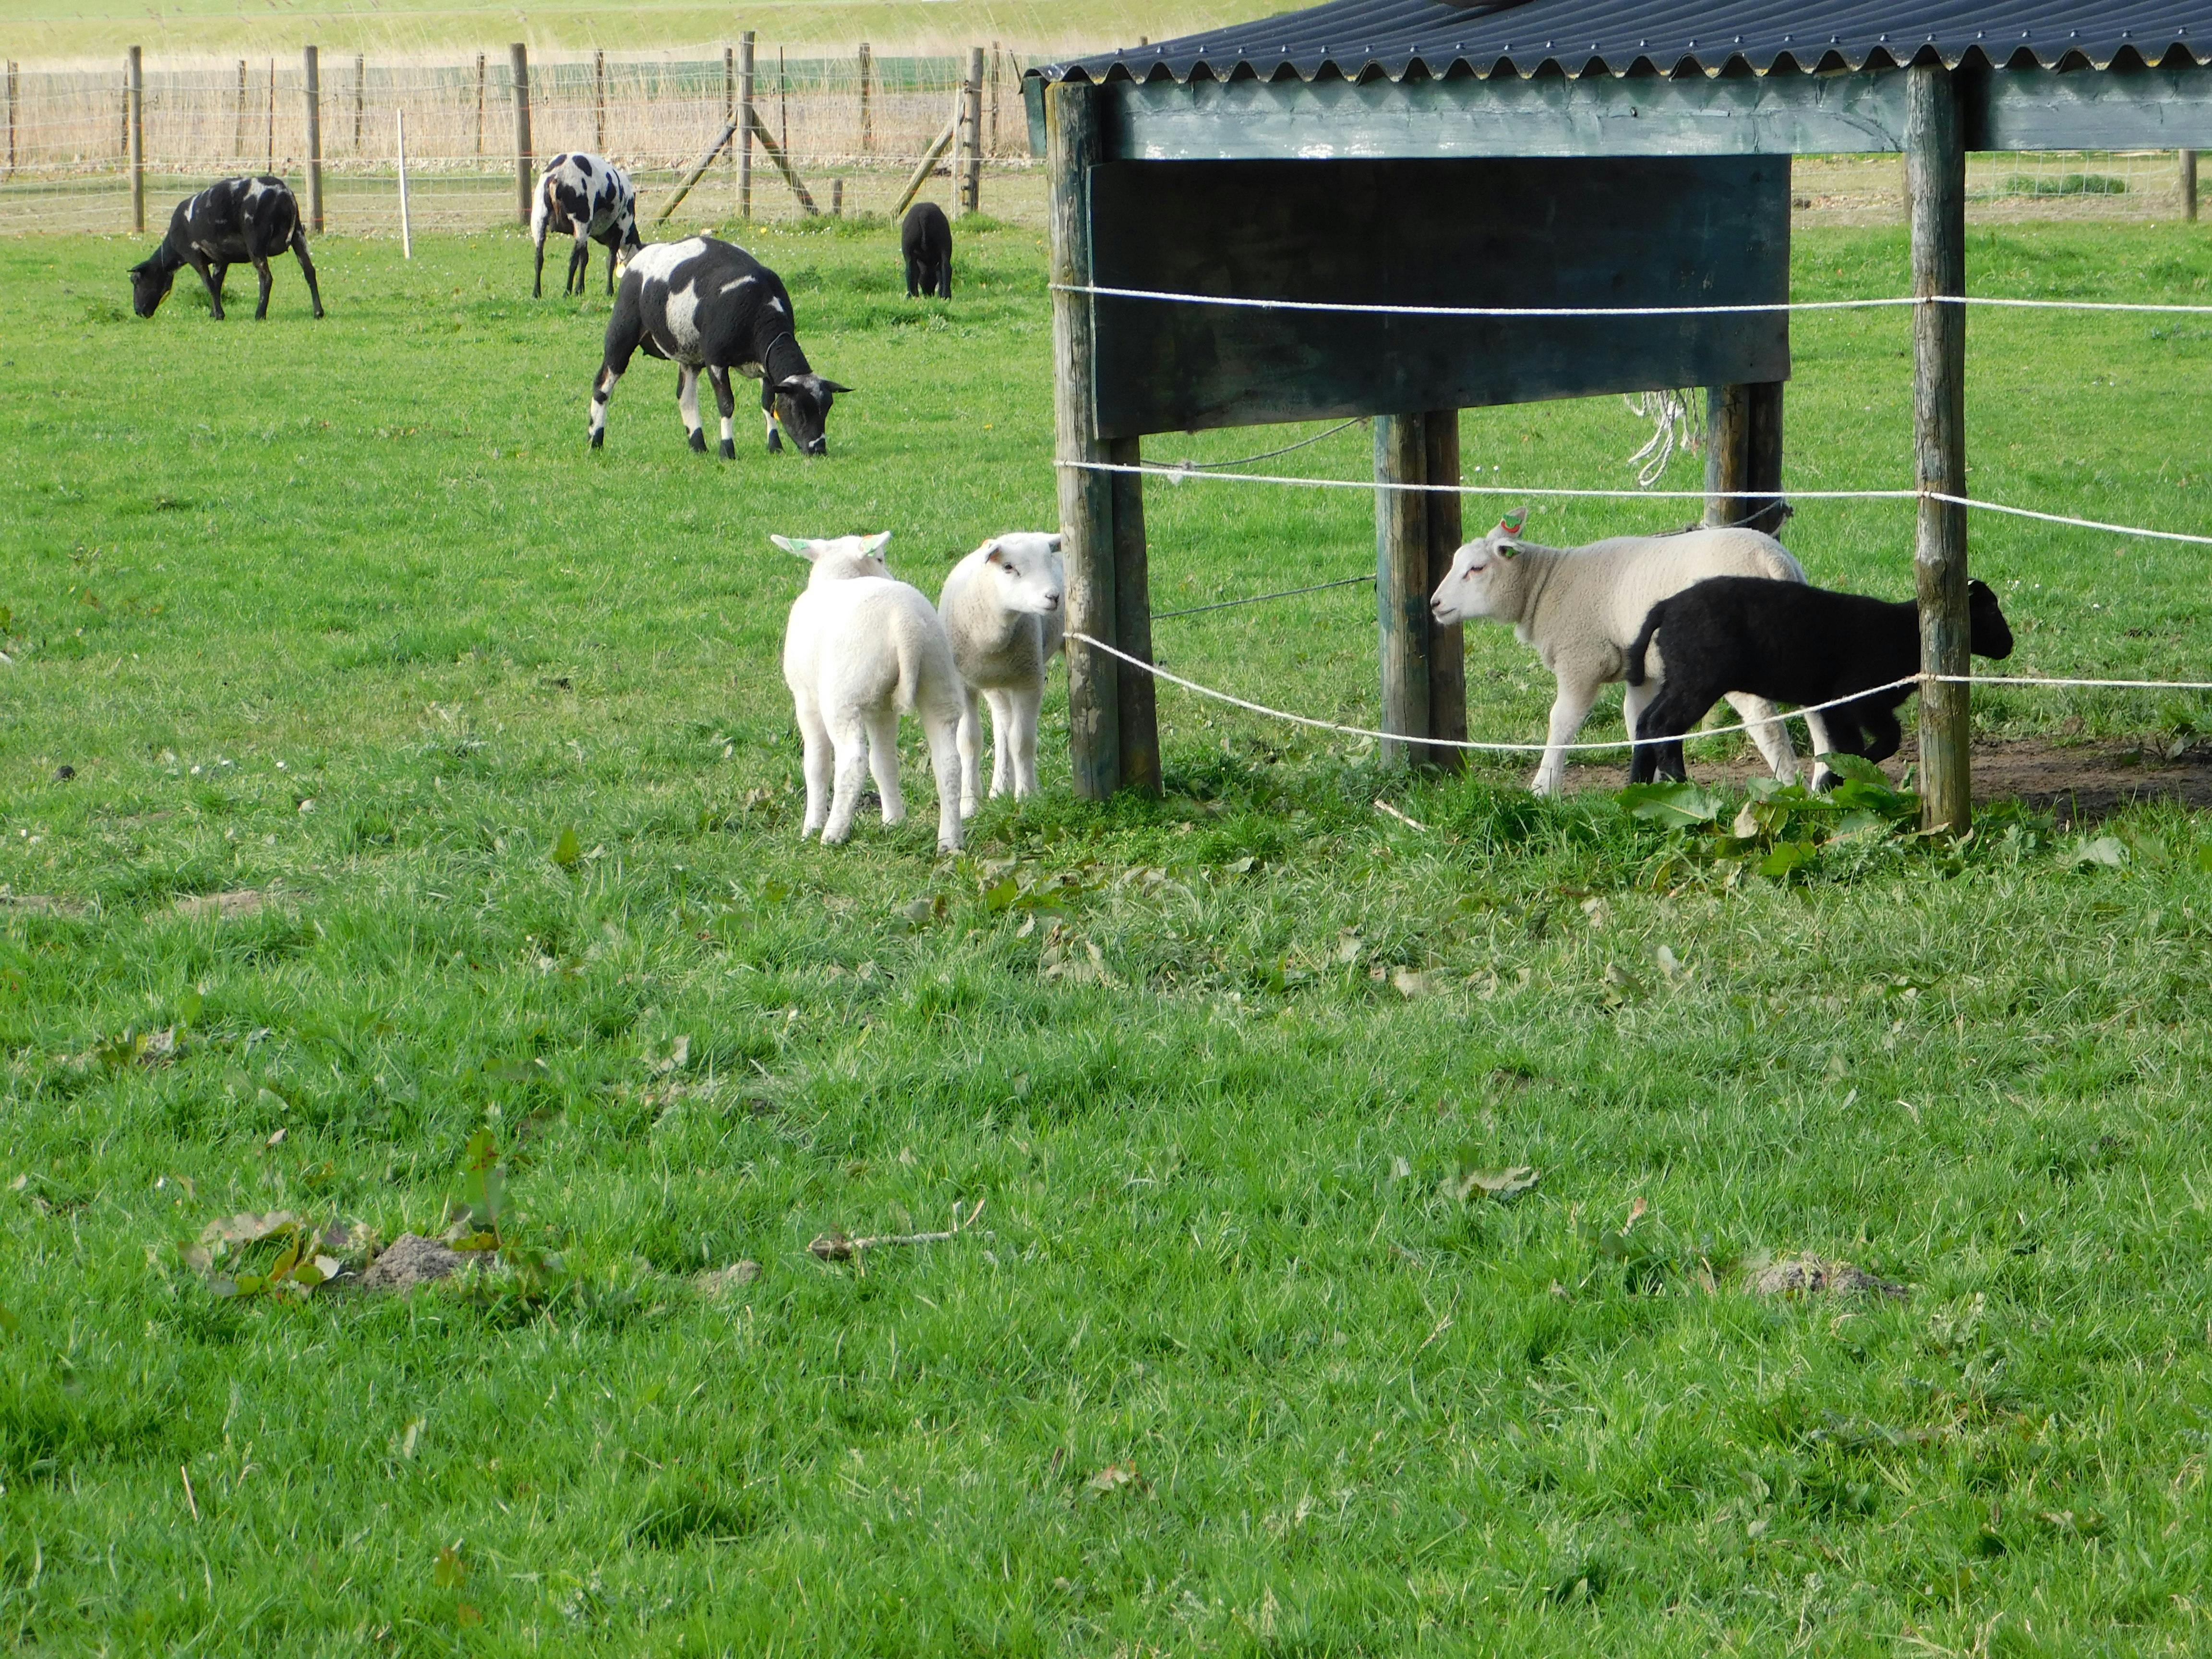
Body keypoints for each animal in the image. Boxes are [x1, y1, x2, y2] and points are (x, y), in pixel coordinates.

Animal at [776, 533, 965, 851]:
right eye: (880, 559)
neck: (835, 576)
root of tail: (904, 622)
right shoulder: (881, 707)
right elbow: (885, 763)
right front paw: (894, 822)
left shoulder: (805, 698)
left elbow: (816, 765)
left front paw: (810, 827)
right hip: (938, 679)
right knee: (948, 763)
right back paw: (950, 841)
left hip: (844, 695)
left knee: (853, 761)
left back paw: (833, 834)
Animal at [936, 533, 1064, 815]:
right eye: (1008, 567)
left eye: (1048, 561)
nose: (1054, 597)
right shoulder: (963, 684)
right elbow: (969, 742)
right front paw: (968, 804)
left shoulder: (1030, 680)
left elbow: (1022, 740)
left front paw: (1026, 796)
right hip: (995, 682)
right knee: (1002, 723)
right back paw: (1000, 788)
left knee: (1009, 727)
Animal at [1429, 516, 1839, 796]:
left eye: (1477, 569)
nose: (1434, 604)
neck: (1545, 587)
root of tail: (1770, 557)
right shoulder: (1640, 671)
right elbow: (1635, 720)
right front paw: (1653, 787)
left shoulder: (1582, 659)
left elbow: (1561, 722)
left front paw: (1542, 788)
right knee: (1816, 708)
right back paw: (1823, 778)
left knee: (1764, 720)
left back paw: (1789, 784)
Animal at [1623, 576, 2015, 784]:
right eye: (1991, 611)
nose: (2010, 645)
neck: (1907, 632)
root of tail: (1666, 607)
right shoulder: (1858, 696)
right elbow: (1882, 741)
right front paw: (1840, 777)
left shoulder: (1834, 704)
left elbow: (1847, 746)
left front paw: (1833, 781)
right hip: (1699, 679)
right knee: (1663, 725)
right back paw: (1676, 779)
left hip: (1680, 678)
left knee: (1646, 722)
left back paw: (1640, 785)